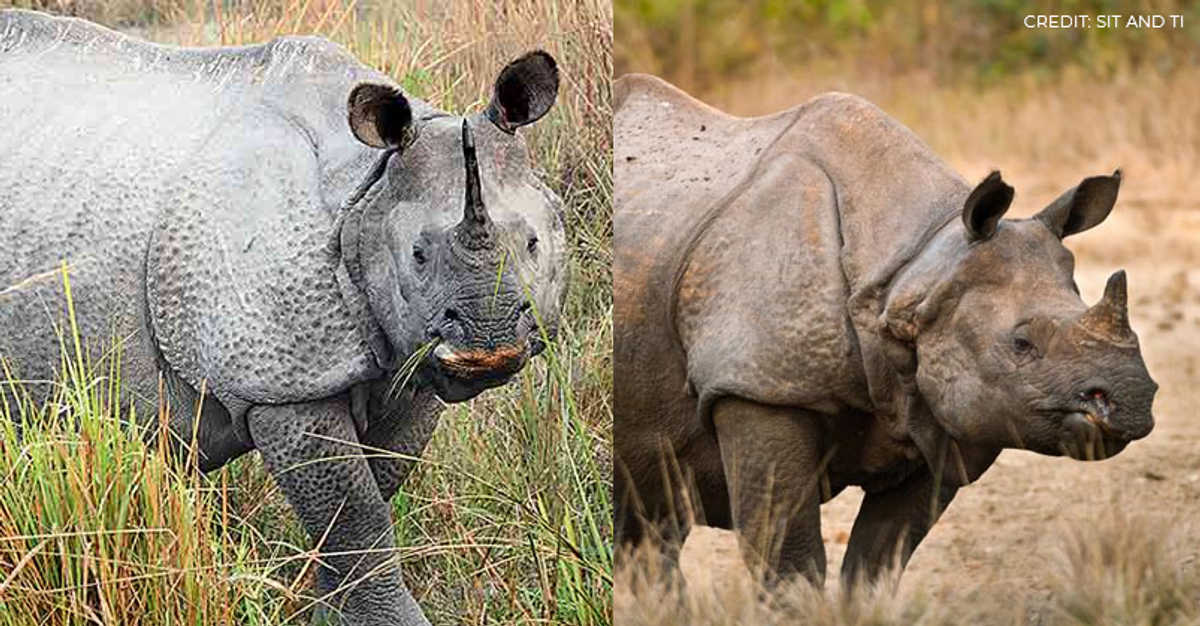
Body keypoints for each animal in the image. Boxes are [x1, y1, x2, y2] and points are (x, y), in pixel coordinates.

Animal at [0, 10, 566, 625]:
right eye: (416, 255)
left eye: (533, 243)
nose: (489, 345)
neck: (365, 190)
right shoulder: (282, 387)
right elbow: (353, 516)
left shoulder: (410, 363)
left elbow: (374, 489)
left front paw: (330, 613)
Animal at [613, 74, 1157, 587]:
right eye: (1021, 345)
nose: (1133, 399)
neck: (917, 263)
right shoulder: (758, 386)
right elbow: (789, 561)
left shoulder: (936, 415)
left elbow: (878, 562)